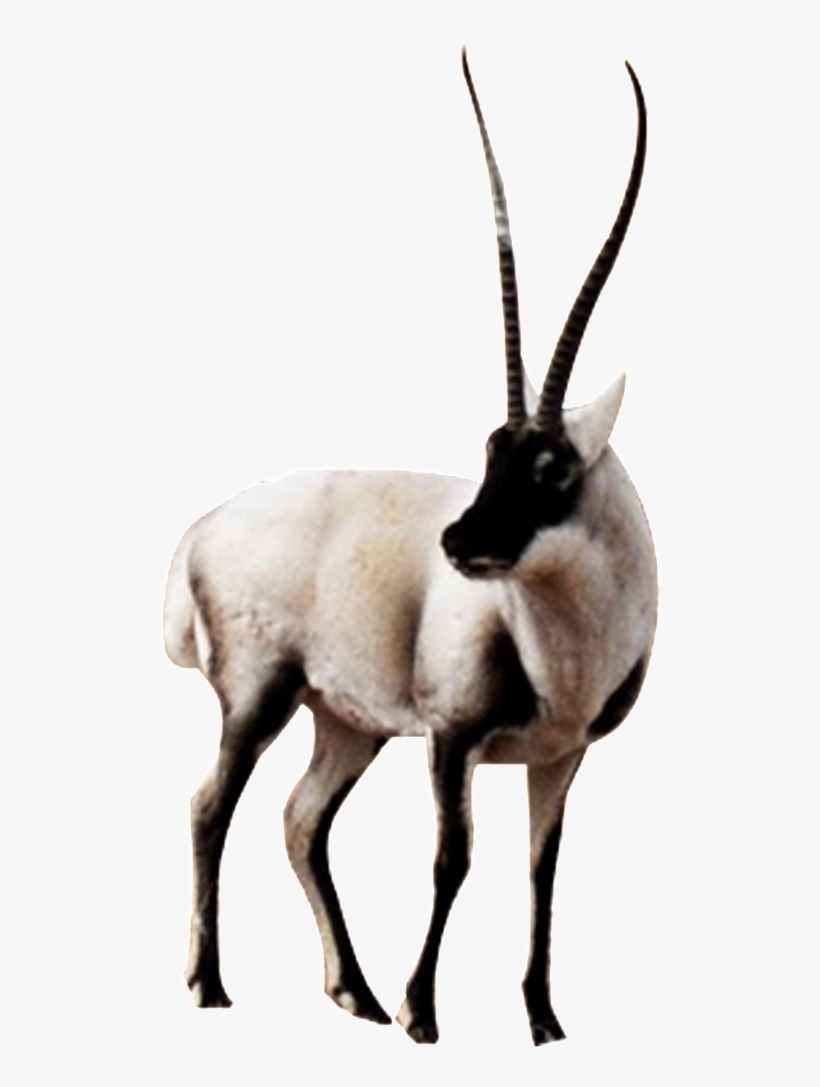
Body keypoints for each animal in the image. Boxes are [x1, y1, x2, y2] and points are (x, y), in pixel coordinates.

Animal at [163, 49, 657, 1045]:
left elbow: (543, 871)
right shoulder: (452, 737)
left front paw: (544, 1022)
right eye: (490, 449)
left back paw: (350, 991)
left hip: (346, 722)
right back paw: (212, 984)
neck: (569, 638)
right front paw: (422, 1010)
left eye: (549, 464)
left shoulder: (559, 755)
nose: (460, 541)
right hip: (260, 696)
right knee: (211, 804)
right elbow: (452, 860)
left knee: (300, 818)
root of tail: (203, 526)